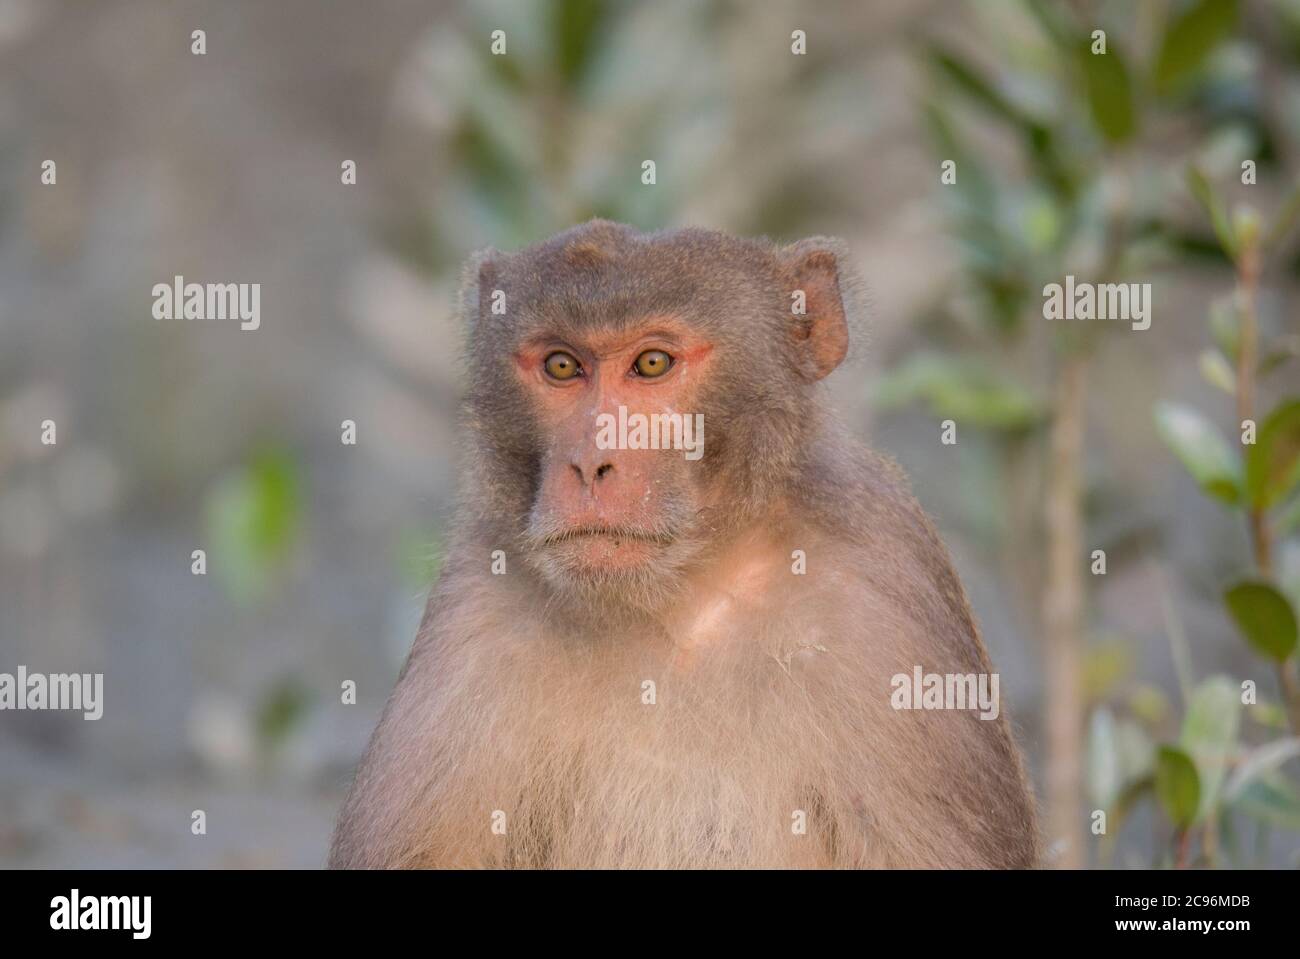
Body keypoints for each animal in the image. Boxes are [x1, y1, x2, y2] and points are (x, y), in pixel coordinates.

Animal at [329, 220, 1039, 869]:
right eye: (562, 366)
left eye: (652, 364)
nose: (589, 465)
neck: (682, 600)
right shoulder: (476, 605)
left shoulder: (885, 581)